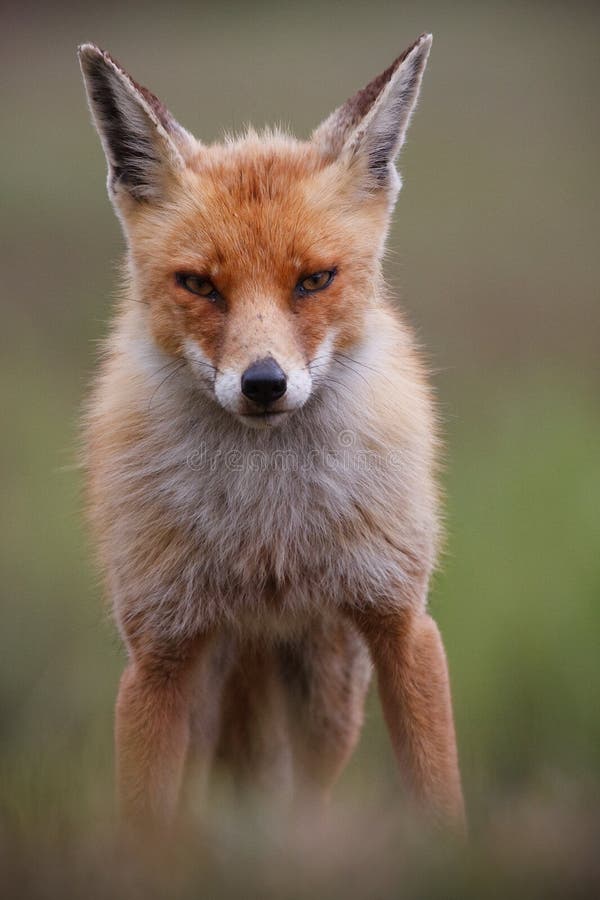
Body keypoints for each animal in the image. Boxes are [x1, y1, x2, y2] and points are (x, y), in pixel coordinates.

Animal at [78, 33, 465, 833]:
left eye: (314, 280)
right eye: (199, 284)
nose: (263, 384)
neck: (268, 528)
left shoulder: (402, 620)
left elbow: (439, 795)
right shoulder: (156, 653)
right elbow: (145, 829)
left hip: (328, 696)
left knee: (304, 800)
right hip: (212, 691)